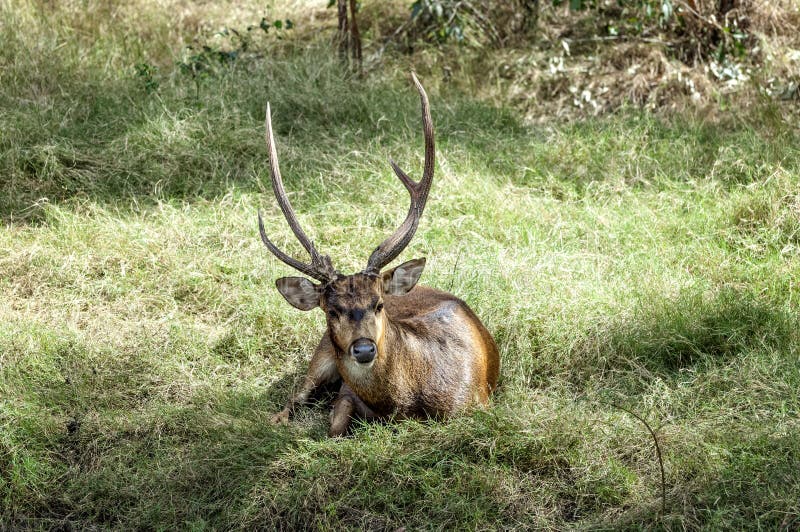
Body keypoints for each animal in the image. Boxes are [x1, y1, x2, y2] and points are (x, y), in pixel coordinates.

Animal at [259, 73, 499, 437]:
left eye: (379, 304)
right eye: (332, 311)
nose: (363, 348)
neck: (404, 402)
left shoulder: (474, 403)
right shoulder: (346, 390)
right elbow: (335, 425)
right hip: (319, 356)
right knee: (292, 399)